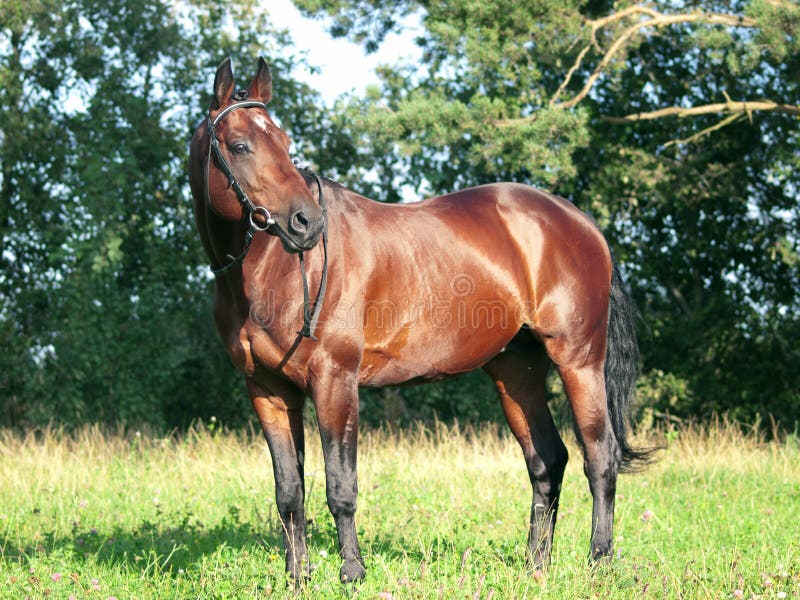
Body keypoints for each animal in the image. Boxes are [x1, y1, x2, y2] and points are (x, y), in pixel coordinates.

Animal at [188, 57, 652, 583]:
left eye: (285, 144)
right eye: (240, 146)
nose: (307, 223)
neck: (275, 272)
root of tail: (580, 221)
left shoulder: (334, 381)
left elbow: (340, 486)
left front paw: (353, 573)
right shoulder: (268, 390)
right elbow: (290, 493)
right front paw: (297, 578)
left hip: (579, 361)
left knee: (601, 457)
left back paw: (600, 562)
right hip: (517, 370)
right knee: (547, 460)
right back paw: (536, 566)